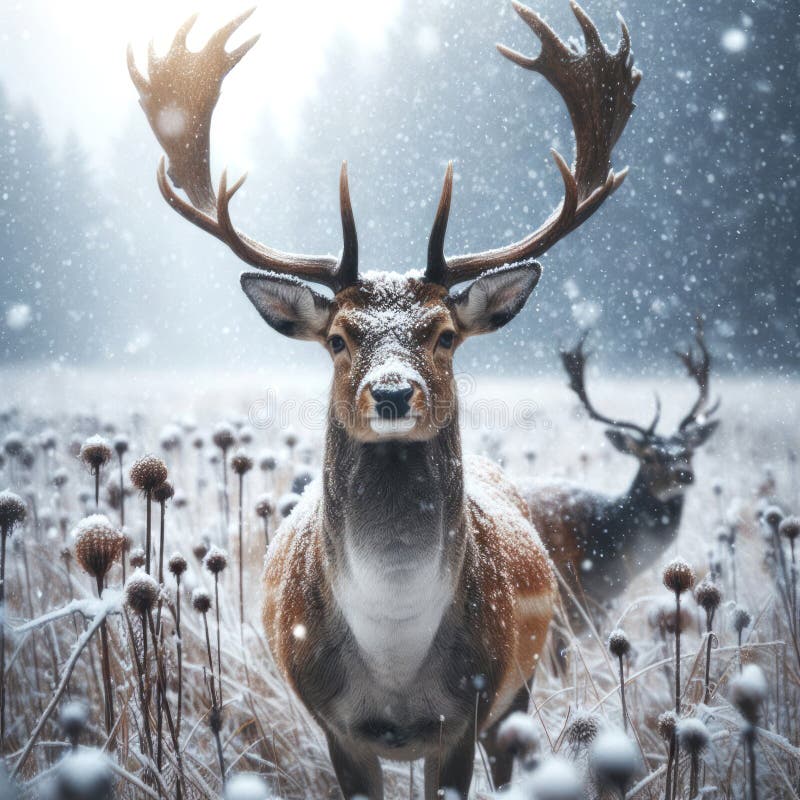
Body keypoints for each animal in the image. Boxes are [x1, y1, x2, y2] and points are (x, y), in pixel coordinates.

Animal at [128, 3, 640, 797]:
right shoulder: (336, 724)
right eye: (339, 337)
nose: (395, 393)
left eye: (444, 333)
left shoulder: (466, 712)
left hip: (520, 689)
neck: (396, 657)